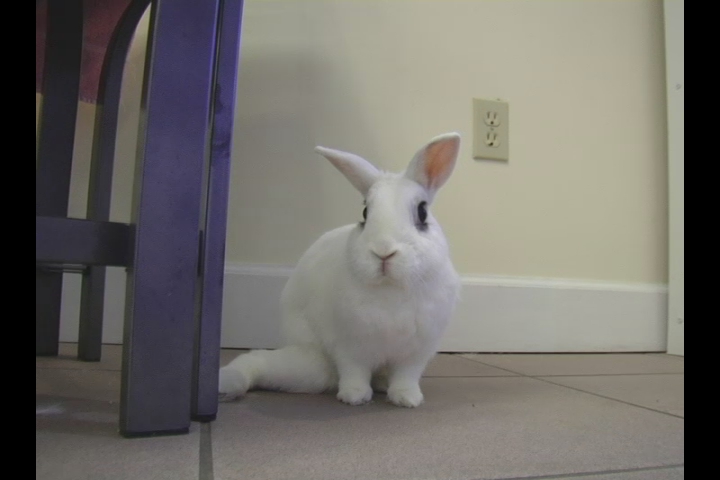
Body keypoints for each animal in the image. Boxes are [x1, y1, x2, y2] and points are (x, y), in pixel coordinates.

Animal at [219, 132, 462, 408]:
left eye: (422, 212)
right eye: (365, 212)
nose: (383, 251)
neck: (390, 288)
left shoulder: (416, 353)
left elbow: (406, 376)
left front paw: (407, 398)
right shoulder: (350, 347)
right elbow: (354, 371)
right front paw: (354, 396)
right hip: (314, 364)